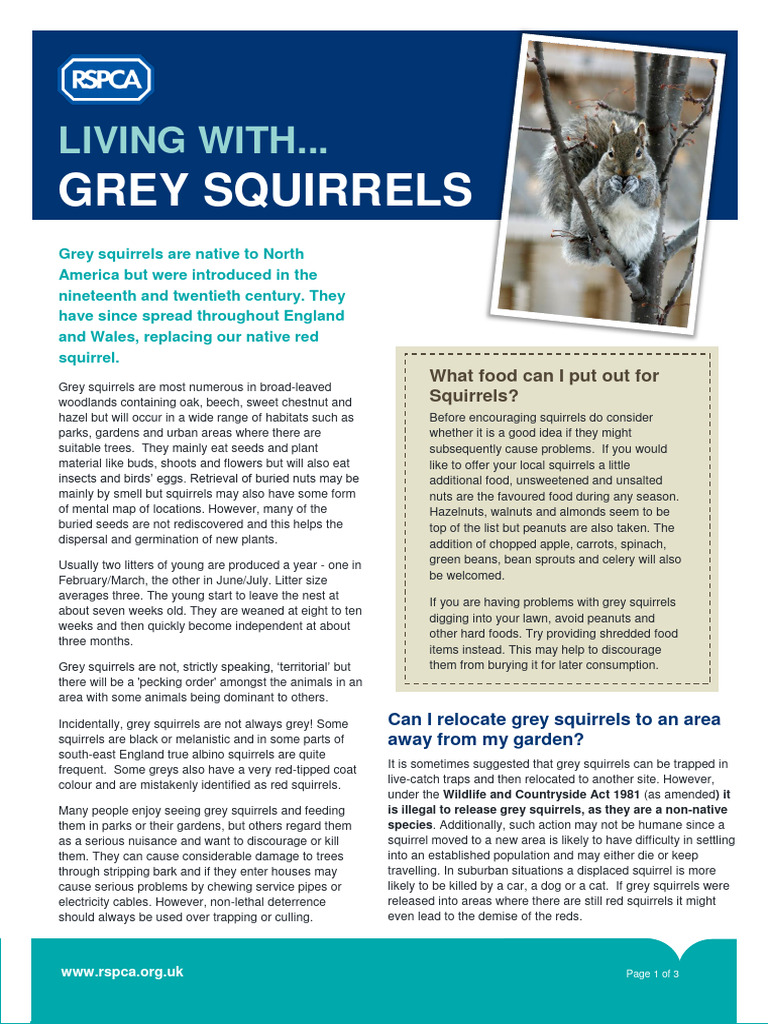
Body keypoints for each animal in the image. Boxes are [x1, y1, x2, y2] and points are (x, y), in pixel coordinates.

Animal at [538, 109, 661, 281]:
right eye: (610, 153)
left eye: (639, 153)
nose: (623, 172)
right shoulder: (599, 181)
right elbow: (605, 197)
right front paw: (613, 183)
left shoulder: (653, 186)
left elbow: (645, 197)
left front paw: (634, 183)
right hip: (583, 220)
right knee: (587, 248)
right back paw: (594, 242)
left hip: (642, 241)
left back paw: (633, 266)